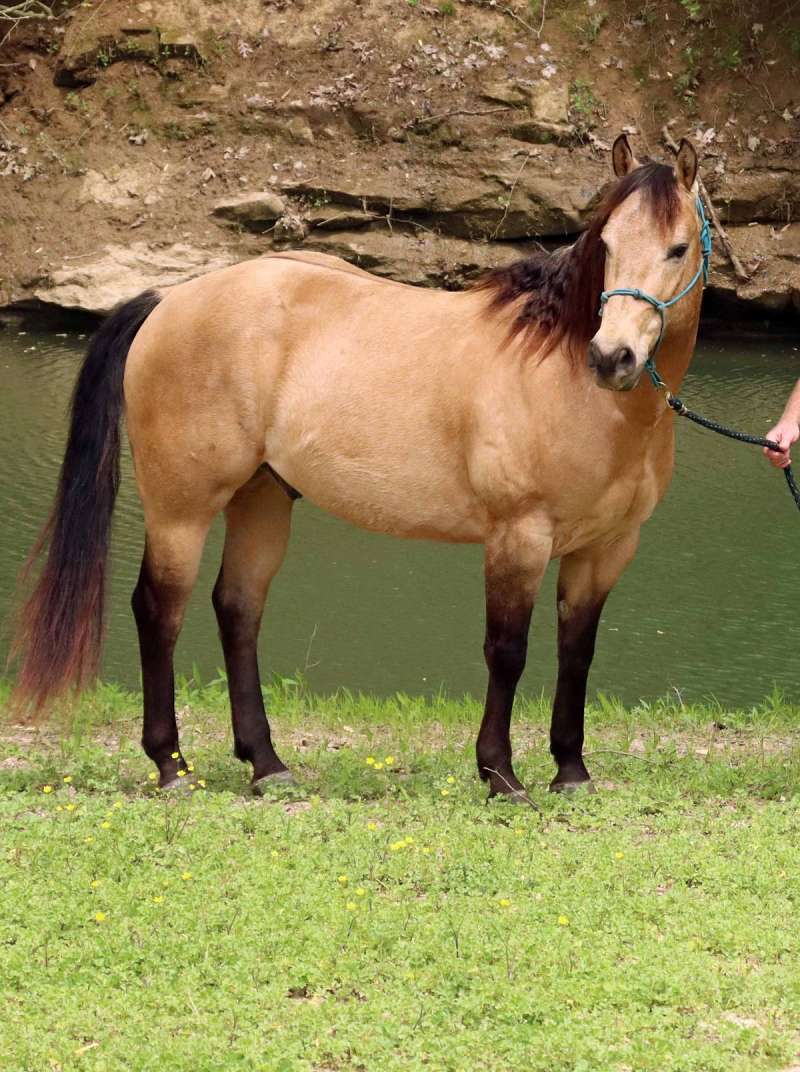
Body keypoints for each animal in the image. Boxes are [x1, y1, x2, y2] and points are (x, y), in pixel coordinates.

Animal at [12, 134, 705, 800]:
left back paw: (266, 764)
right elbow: (507, 652)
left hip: (262, 500)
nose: (611, 357)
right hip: (179, 511)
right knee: (160, 611)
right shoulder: (519, 538)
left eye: (678, 248)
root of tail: (169, 299)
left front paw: (571, 771)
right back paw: (172, 767)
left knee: (237, 609)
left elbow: (577, 654)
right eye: (606, 244)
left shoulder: (606, 549)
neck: (569, 382)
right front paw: (501, 776)